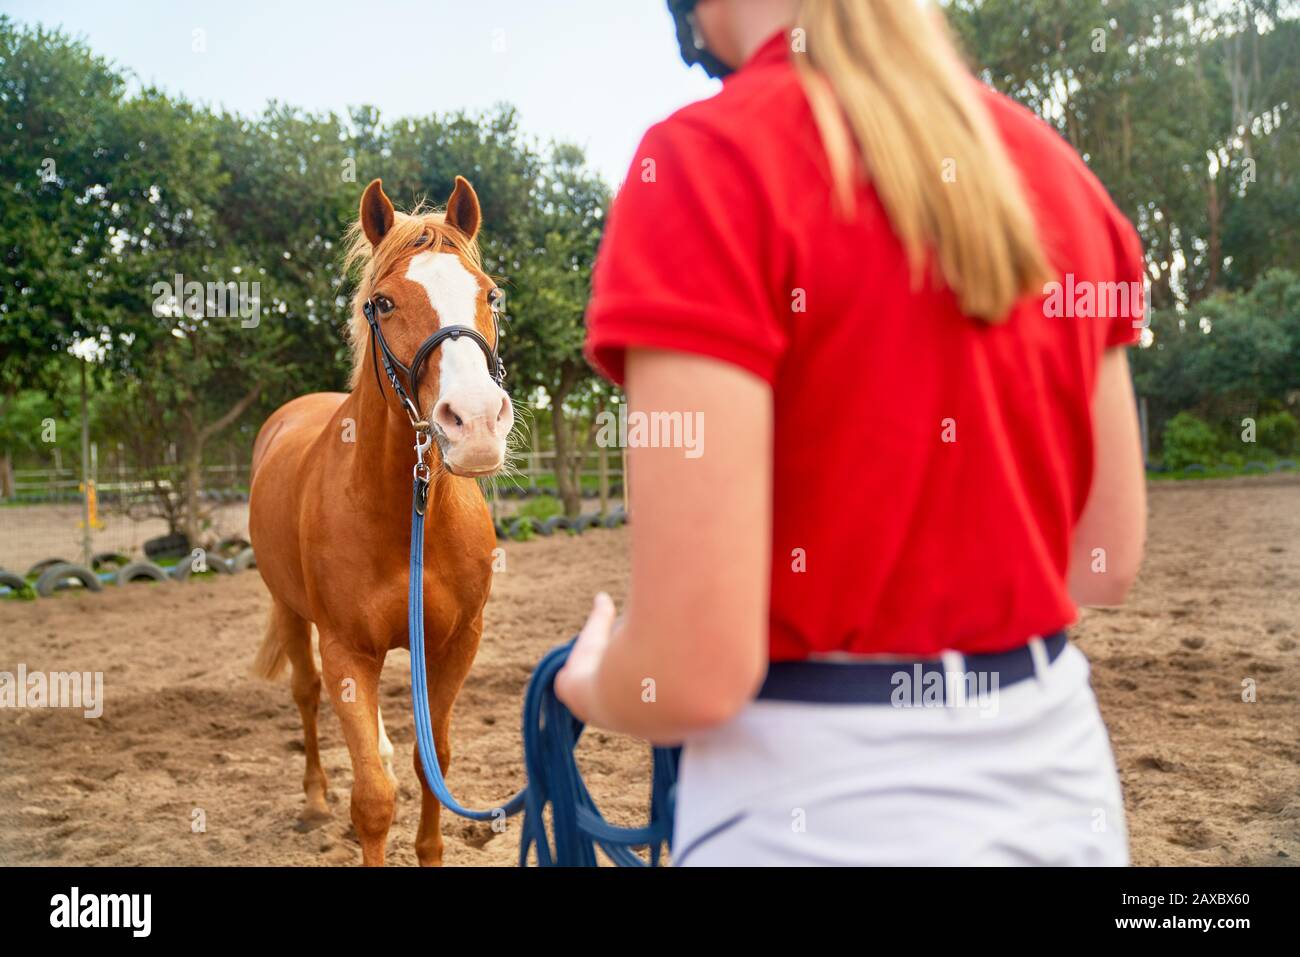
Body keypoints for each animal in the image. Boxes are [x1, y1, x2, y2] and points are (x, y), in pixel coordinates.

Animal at [248, 176, 514, 866]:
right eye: (385, 302)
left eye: (491, 294)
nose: (476, 423)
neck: (406, 517)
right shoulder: (348, 652)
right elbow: (371, 798)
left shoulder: (454, 644)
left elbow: (432, 762)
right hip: (291, 613)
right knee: (307, 696)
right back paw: (314, 801)